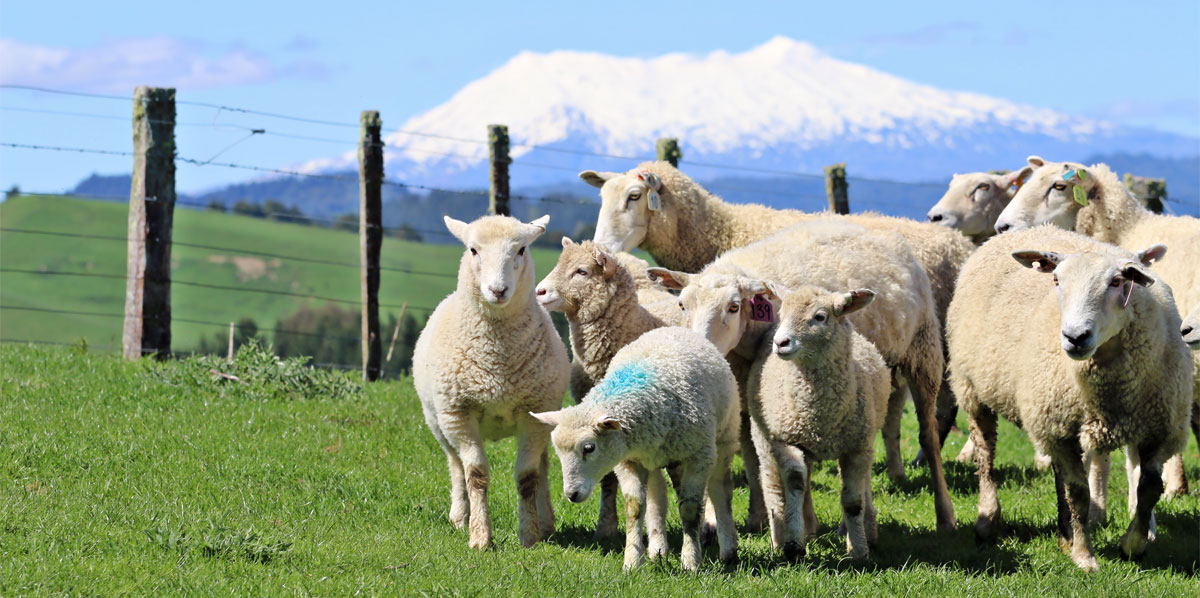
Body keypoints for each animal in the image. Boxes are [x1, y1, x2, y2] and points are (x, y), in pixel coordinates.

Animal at [413, 214, 569, 550]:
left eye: (521, 249)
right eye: (473, 250)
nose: (498, 290)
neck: (496, 362)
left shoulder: (533, 413)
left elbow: (527, 476)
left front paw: (529, 536)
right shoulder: (458, 414)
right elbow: (475, 474)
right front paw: (480, 538)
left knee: (543, 465)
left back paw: (546, 520)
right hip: (438, 421)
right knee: (455, 464)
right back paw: (459, 516)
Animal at [532, 327, 740, 571]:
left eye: (589, 448)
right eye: (558, 452)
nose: (572, 495)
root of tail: (671, 329)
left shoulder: (699, 455)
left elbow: (689, 509)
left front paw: (690, 562)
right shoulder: (628, 460)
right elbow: (634, 507)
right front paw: (632, 562)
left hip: (723, 438)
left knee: (720, 490)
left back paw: (728, 551)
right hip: (654, 457)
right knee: (657, 495)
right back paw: (658, 549)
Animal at [649, 219, 957, 532]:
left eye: (733, 307)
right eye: (682, 305)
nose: (698, 348)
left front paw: (800, 522)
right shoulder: (751, 394)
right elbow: (751, 453)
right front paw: (755, 518)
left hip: (923, 352)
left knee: (928, 436)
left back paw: (943, 514)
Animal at [746, 285, 891, 561]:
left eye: (820, 317)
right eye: (782, 314)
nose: (780, 343)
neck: (820, 417)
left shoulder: (856, 447)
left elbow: (853, 502)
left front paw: (859, 552)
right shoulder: (787, 441)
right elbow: (794, 482)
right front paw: (793, 546)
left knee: (861, 484)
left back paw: (866, 531)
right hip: (764, 438)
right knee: (774, 486)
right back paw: (779, 539)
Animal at [947, 225, 1192, 571]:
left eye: (1117, 282)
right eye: (1056, 280)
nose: (1075, 337)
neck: (1112, 392)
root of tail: (1032, 229)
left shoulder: (1159, 428)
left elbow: (1149, 487)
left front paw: (1133, 545)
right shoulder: (1058, 428)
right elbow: (1078, 493)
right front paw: (1084, 556)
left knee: (1057, 473)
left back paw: (1064, 533)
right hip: (973, 389)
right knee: (986, 453)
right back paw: (988, 520)